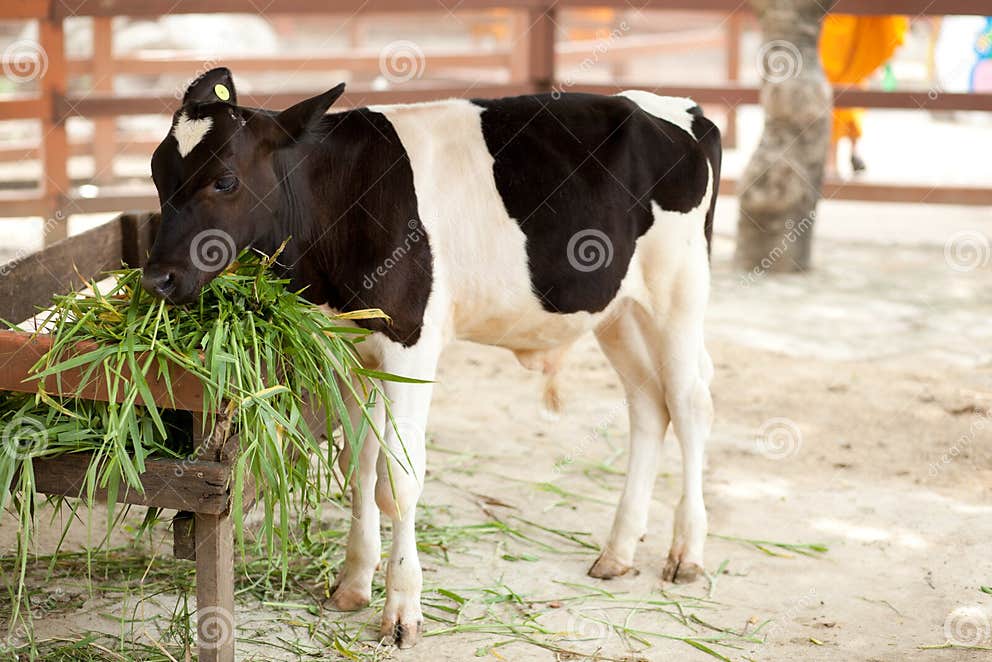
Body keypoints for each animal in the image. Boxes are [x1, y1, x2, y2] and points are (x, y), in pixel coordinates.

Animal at [143, 67, 721, 649]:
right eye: (156, 173)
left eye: (224, 181)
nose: (157, 278)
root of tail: (680, 107)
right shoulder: (349, 346)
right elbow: (359, 468)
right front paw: (353, 583)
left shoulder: (410, 344)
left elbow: (398, 481)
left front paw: (402, 609)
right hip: (619, 310)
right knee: (649, 405)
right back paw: (617, 551)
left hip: (678, 293)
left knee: (690, 405)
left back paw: (687, 553)